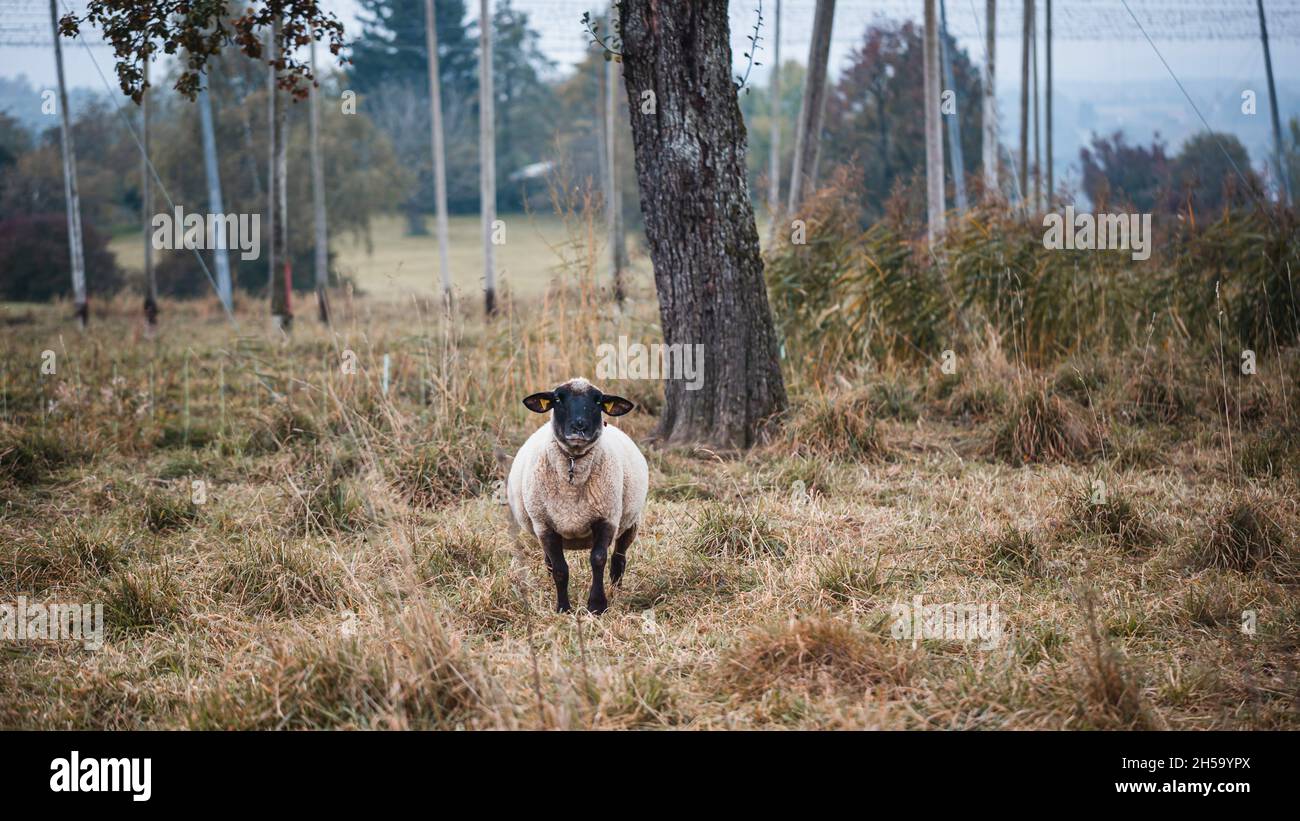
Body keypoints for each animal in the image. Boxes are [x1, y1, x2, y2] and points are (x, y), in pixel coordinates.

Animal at [502, 377, 648, 614]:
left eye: (598, 401)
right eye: (557, 399)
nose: (579, 427)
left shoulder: (607, 517)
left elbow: (598, 559)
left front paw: (597, 606)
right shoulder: (544, 526)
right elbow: (560, 569)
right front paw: (563, 608)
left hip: (631, 522)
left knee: (619, 559)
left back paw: (616, 591)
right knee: (550, 563)